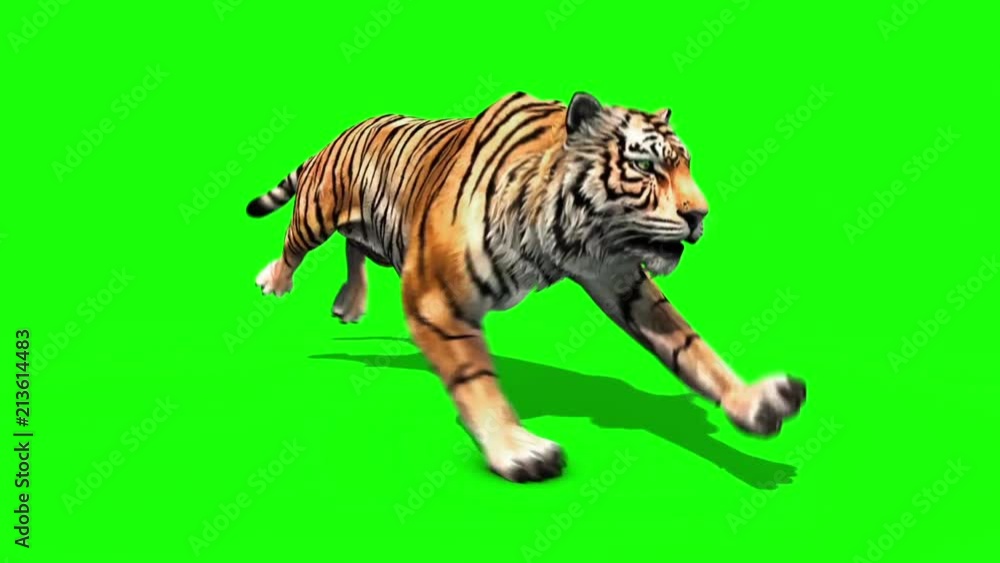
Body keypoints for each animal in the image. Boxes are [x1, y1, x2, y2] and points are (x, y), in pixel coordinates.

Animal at [245, 91, 806, 483]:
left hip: (375, 234)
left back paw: (351, 304)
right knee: (296, 242)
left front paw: (754, 401)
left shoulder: (621, 278)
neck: (567, 236)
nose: (699, 215)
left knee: (354, 247)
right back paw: (274, 281)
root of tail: (344, 130)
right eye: (645, 166)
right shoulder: (437, 299)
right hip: (317, 210)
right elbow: (476, 379)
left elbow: (690, 347)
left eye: (687, 163)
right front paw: (518, 450)